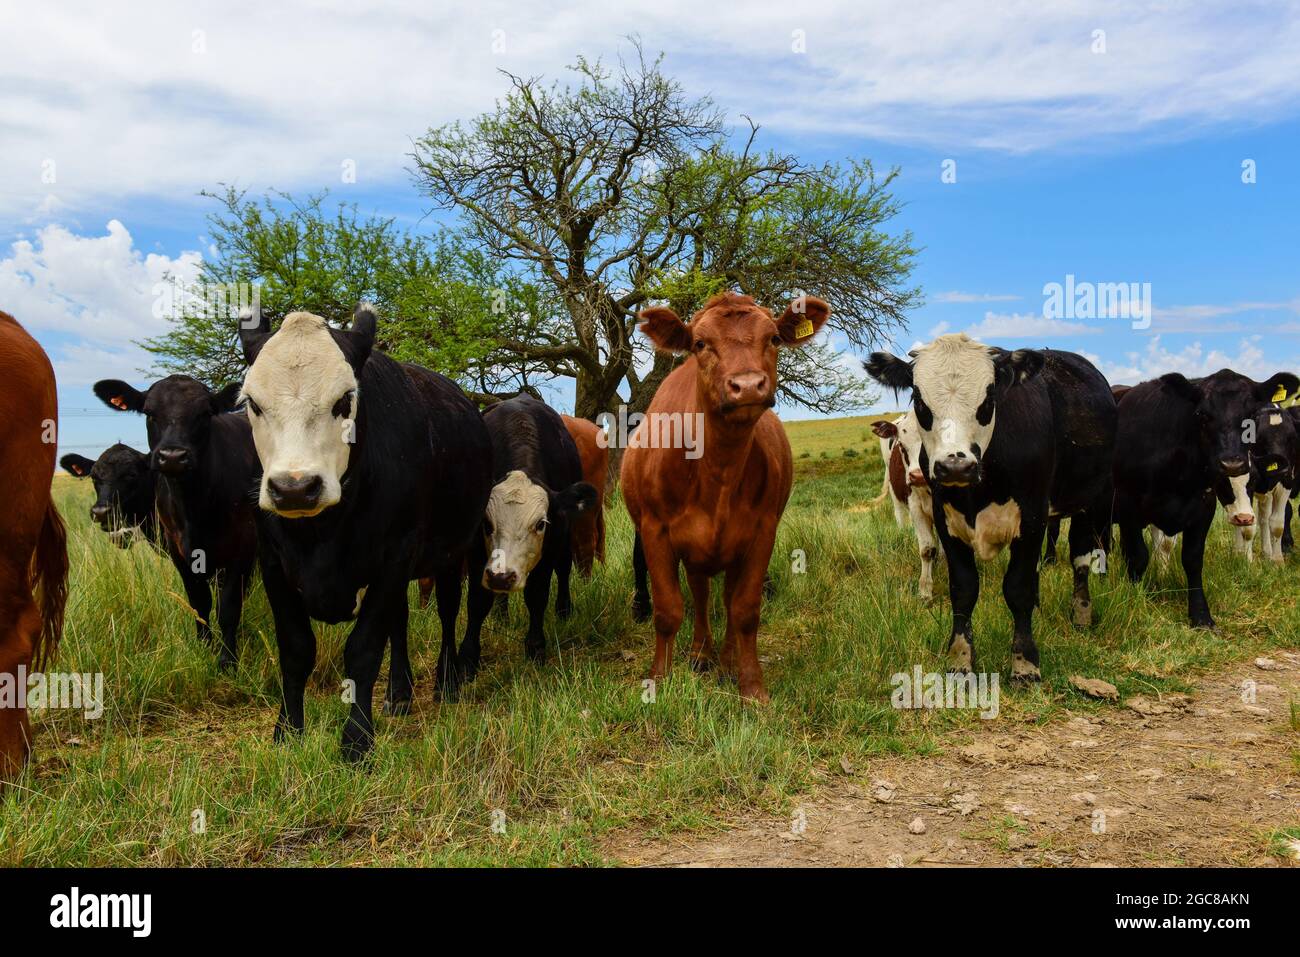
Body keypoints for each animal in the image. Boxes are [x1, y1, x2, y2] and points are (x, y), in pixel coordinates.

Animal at [94, 375, 259, 671]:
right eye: (149, 412)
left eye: (205, 413)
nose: (172, 456)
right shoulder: (178, 550)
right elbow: (199, 601)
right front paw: (204, 646)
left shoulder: (243, 544)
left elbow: (228, 606)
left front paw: (227, 660)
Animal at [238, 306, 492, 762]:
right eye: (253, 403)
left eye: (344, 400)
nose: (294, 488)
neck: (321, 535)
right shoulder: (272, 562)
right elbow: (296, 648)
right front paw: (287, 732)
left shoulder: (397, 553)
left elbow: (364, 650)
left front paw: (356, 742)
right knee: (401, 619)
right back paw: (399, 692)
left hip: (452, 550)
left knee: (448, 612)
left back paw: (446, 683)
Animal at [456, 396, 596, 674]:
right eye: (486, 523)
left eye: (540, 524)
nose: (502, 577)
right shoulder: (476, 551)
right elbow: (477, 600)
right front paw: (467, 657)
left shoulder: (551, 544)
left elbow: (537, 595)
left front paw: (535, 647)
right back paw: (501, 616)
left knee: (564, 569)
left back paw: (563, 610)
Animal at [622, 291, 831, 702]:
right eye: (700, 344)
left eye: (773, 338)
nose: (748, 385)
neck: (717, 469)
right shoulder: (655, 531)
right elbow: (668, 610)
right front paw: (659, 680)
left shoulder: (762, 531)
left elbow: (745, 610)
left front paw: (751, 686)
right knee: (701, 595)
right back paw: (702, 654)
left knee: (726, 599)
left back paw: (726, 662)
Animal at [1112, 368, 1299, 628]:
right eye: (1201, 414)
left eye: (1252, 415)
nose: (1232, 463)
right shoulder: (1128, 506)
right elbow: (1138, 555)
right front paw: (1135, 600)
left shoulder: (1204, 508)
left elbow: (1192, 559)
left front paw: (1201, 616)